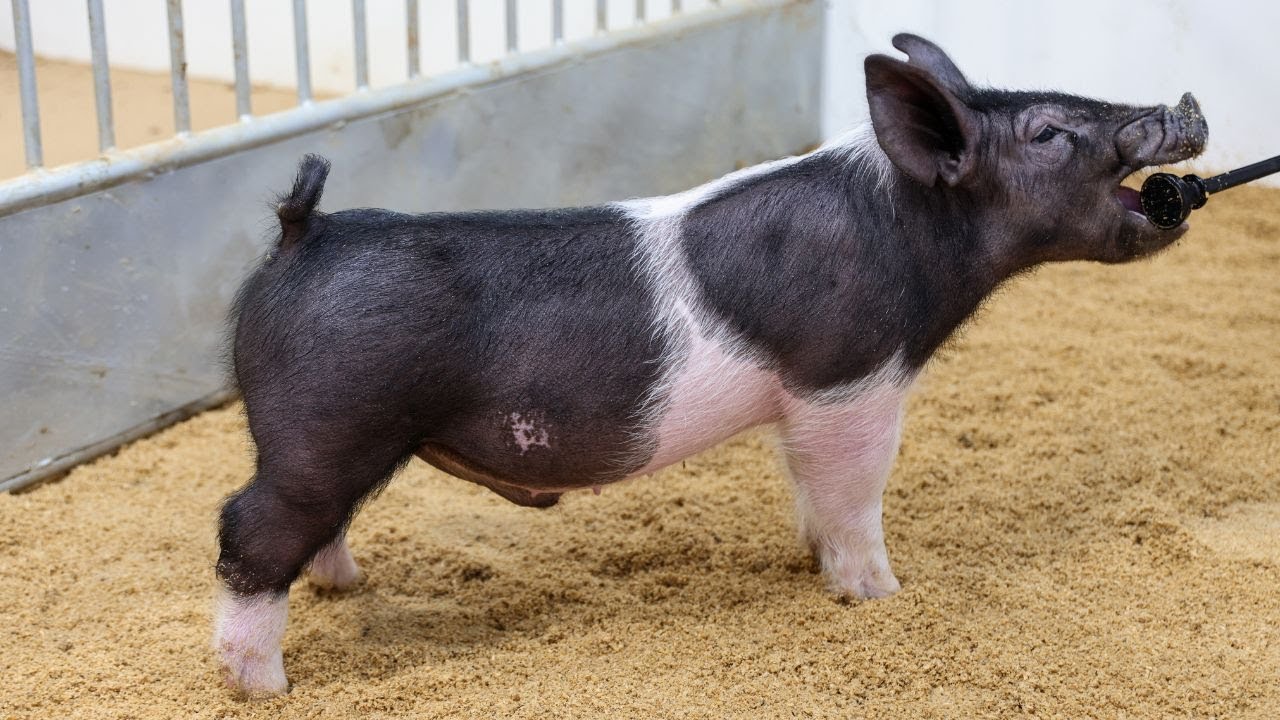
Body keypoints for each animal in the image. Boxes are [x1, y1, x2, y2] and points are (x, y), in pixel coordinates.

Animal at [213, 34, 1208, 697]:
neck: (910, 233)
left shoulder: (809, 408)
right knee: (247, 529)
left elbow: (811, 493)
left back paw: (347, 586)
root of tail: (304, 234)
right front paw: (880, 596)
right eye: (1046, 133)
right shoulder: (848, 382)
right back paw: (266, 686)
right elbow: (856, 498)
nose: (1188, 105)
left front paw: (813, 561)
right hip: (324, 423)